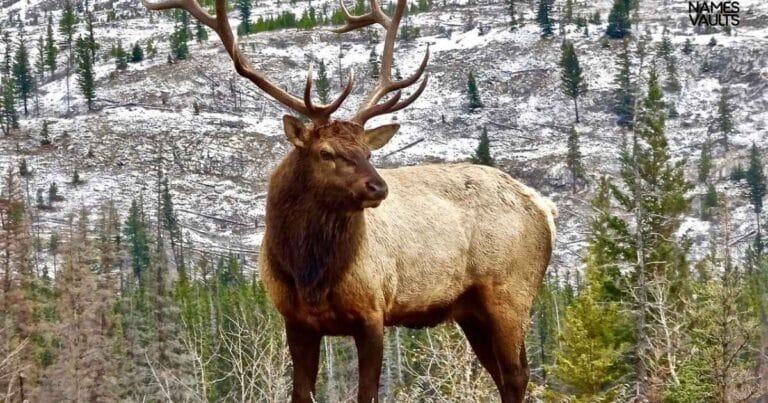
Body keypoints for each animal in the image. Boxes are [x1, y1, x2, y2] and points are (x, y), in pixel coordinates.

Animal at [142, 0, 557, 401]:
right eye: (326, 152)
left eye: (368, 152)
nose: (379, 188)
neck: (309, 273)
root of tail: (544, 207)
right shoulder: (296, 320)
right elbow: (301, 393)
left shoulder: (372, 311)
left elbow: (367, 393)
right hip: (470, 311)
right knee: (505, 376)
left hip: (511, 292)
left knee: (517, 375)